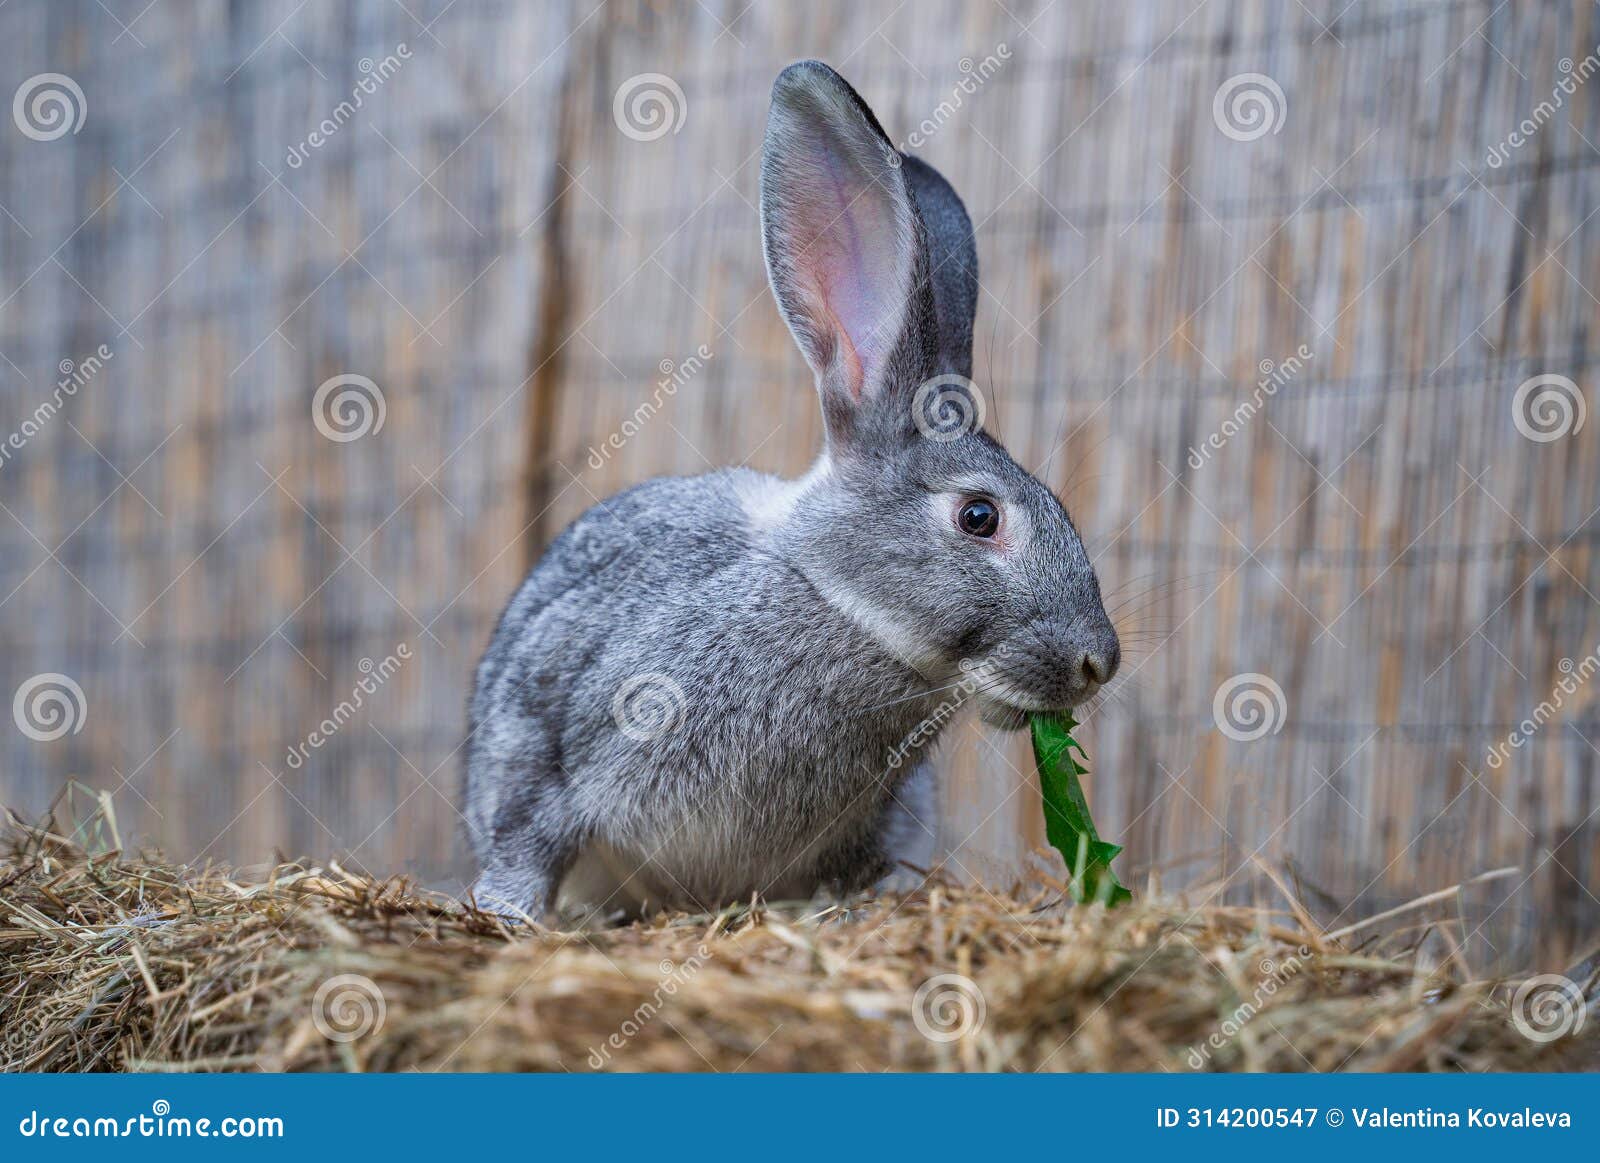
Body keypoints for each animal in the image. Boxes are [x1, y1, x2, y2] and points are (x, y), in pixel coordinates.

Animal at [464, 60, 1119, 922]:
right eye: (979, 516)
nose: (1099, 661)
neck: (833, 597)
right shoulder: (546, 728)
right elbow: (530, 827)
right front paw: (506, 912)